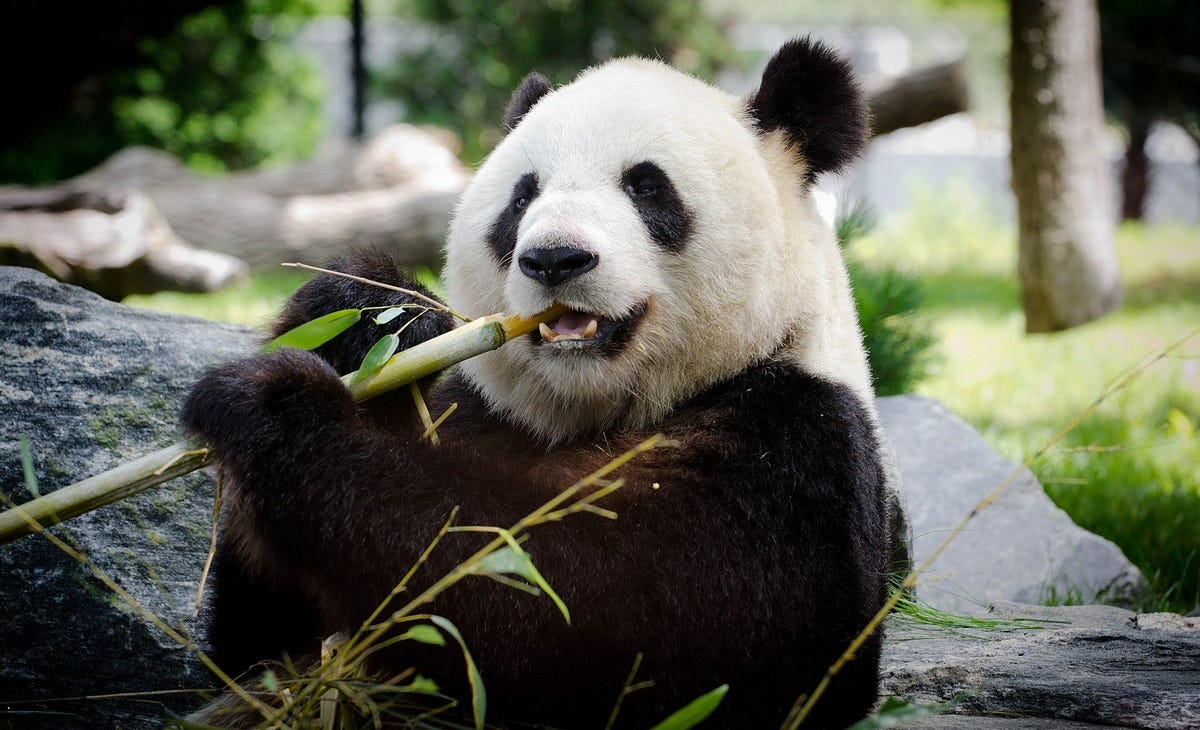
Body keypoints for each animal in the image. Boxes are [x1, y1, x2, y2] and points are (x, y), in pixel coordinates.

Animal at [182, 37, 898, 729]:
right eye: (522, 196)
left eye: (647, 187)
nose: (555, 259)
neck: (588, 407)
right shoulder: (478, 410)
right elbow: (253, 650)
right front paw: (364, 317)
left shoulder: (795, 448)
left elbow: (596, 608)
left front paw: (276, 408)